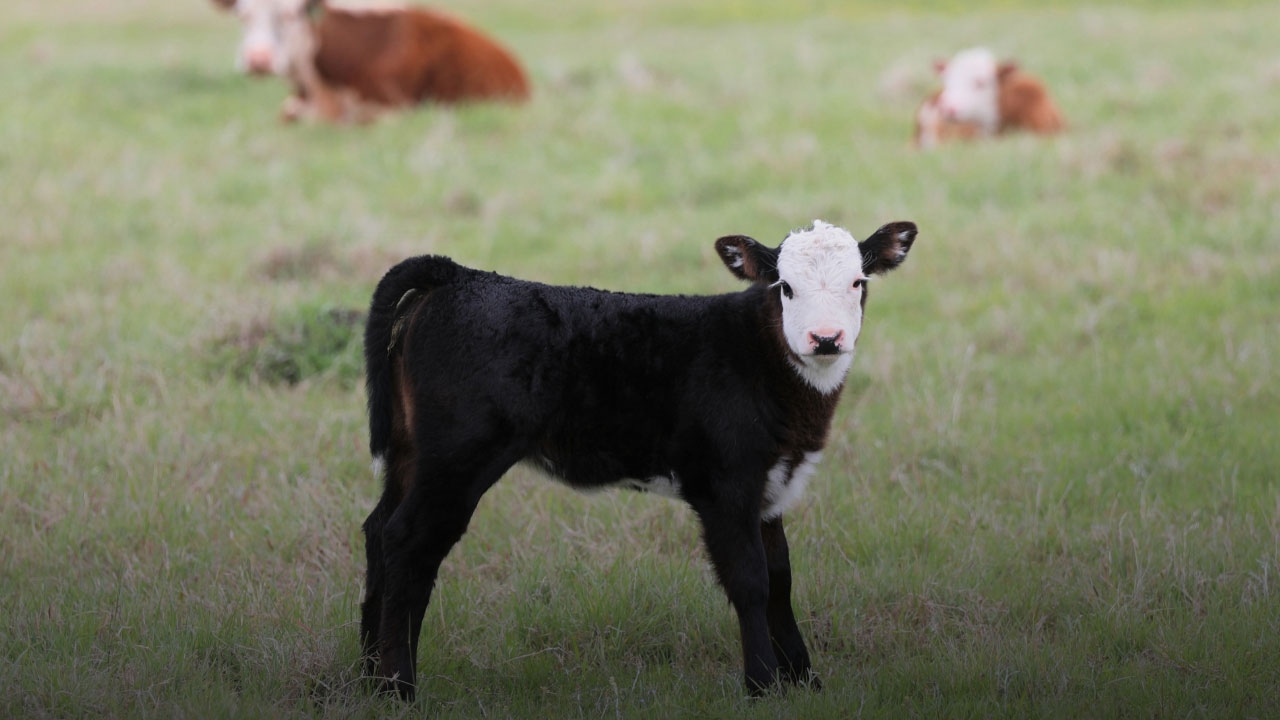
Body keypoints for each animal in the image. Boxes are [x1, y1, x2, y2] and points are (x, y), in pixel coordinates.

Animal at [358, 219, 920, 700]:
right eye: (785, 287)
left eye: (857, 282)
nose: (825, 338)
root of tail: (457, 275)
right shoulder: (725, 484)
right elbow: (750, 581)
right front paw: (761, 684)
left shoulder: (771, 485)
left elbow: (781, 579)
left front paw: (805, 682)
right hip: (458, 455)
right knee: (408, 541)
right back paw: (400, 687)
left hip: (412, 453)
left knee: (377, 531)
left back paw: (367, 678)